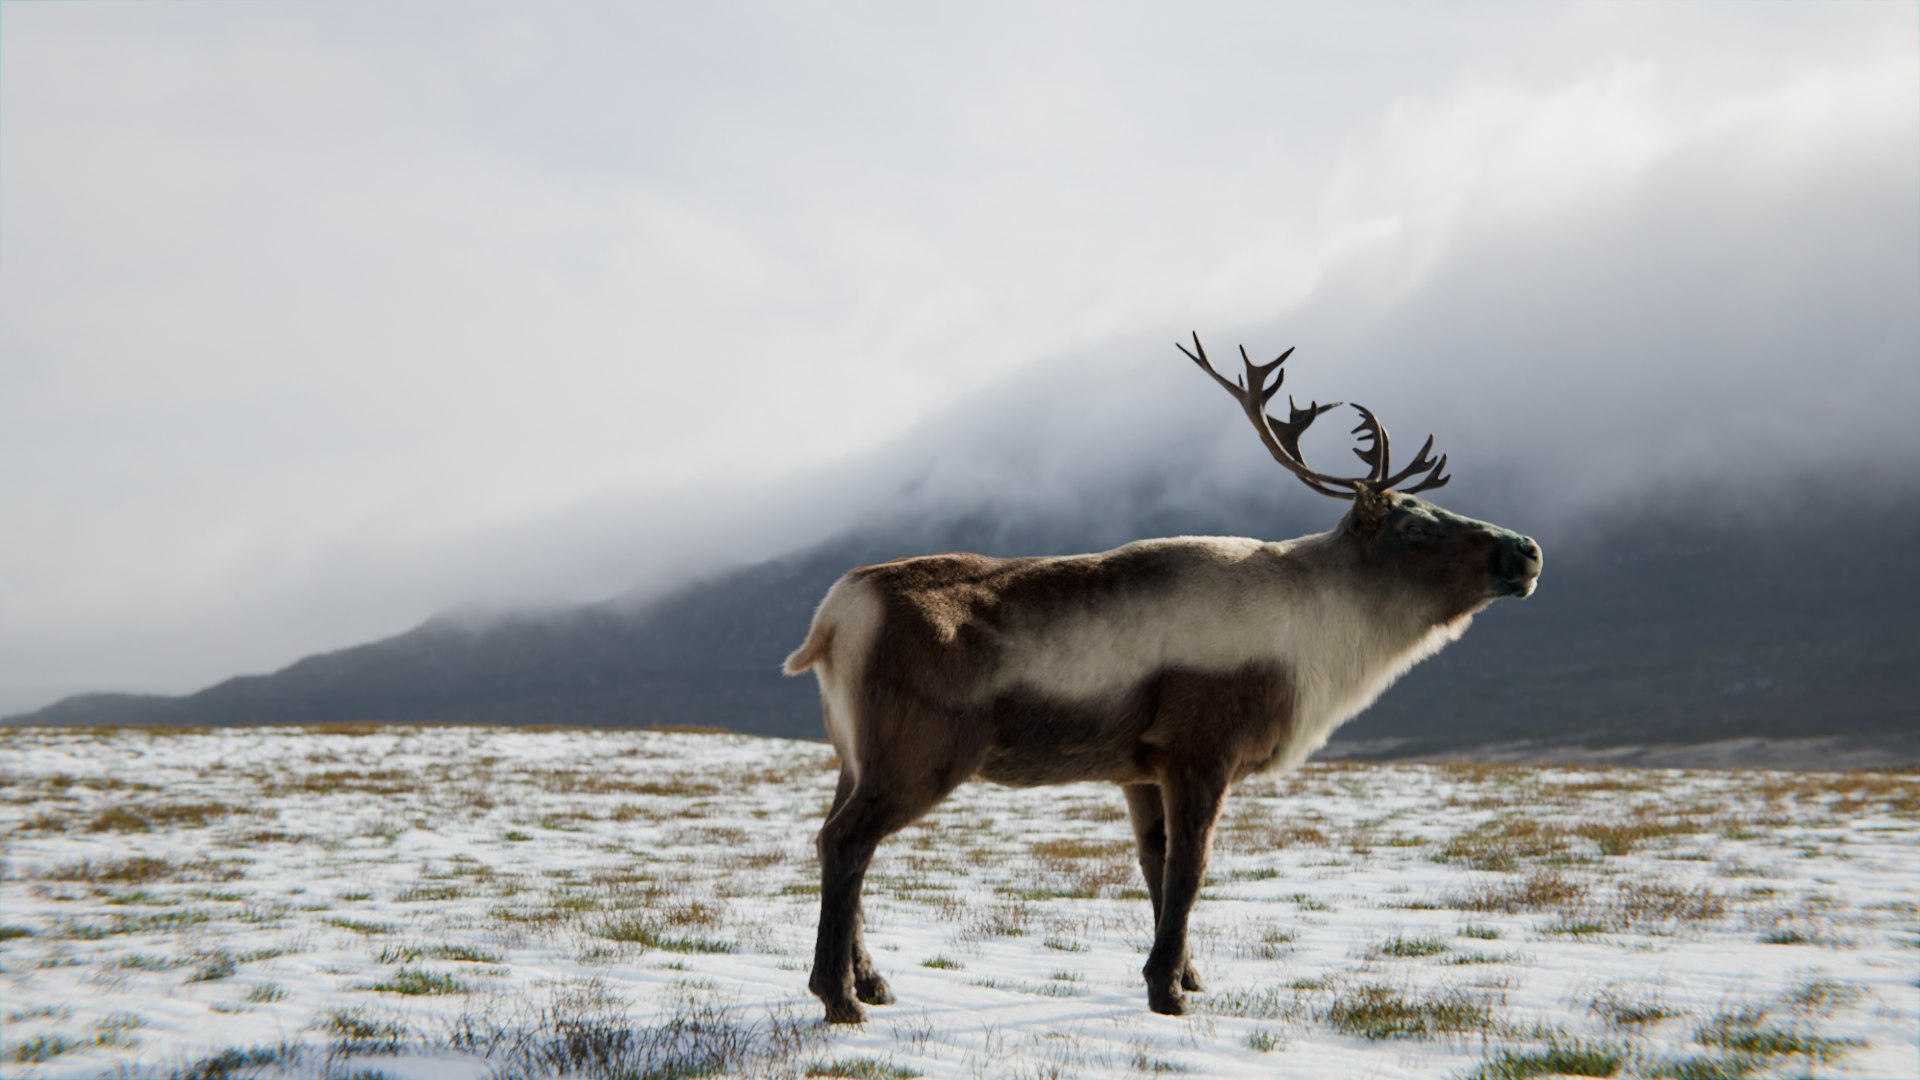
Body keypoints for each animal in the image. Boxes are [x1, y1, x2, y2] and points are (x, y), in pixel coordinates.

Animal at [782, 334, 1543, 1022]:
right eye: (1414, 528)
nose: (1528, 550)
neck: (1317, 633)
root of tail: (833, 619)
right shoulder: (1199, 752)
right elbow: (1189, 870)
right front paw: (1166, 990)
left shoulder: (1139, 769)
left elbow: (1154, 864)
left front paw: (1188, 974)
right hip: (920, 754)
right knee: (845, 843)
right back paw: (838, 997)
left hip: (854, 755)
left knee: (837, 839)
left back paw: (872, 982)